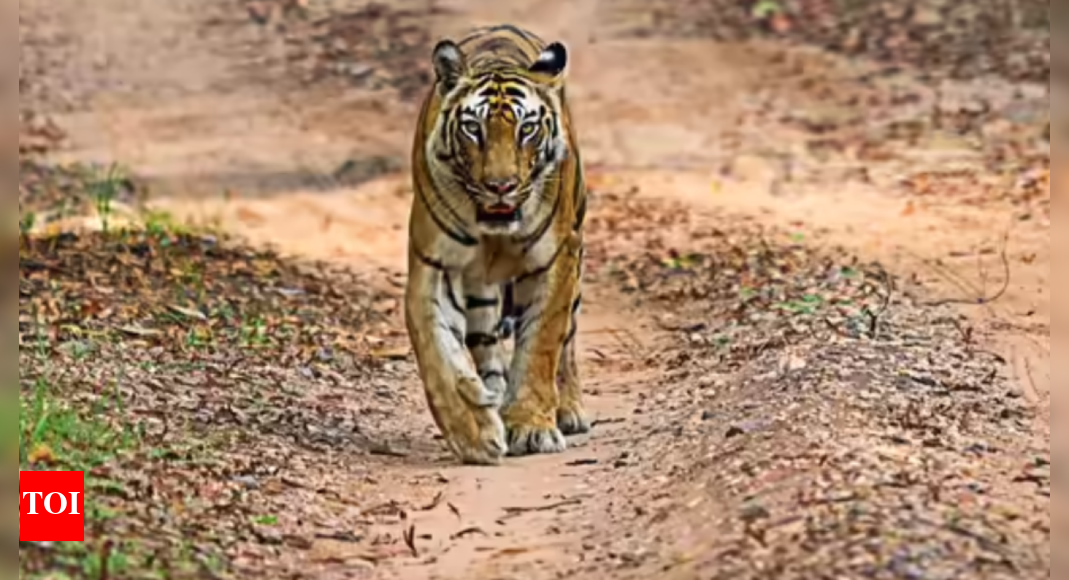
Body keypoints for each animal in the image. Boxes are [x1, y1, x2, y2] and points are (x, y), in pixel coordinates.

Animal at [405, 24, 589, 465]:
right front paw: (475, 433)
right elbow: (436, 353)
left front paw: (531, 427)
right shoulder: (433, 264)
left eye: (527, 130)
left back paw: (568, 409)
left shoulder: (557, 259)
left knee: (568, 343)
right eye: (474, 128)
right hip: (481, 293)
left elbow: (541, 344)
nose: (500, 186)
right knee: (486, 348)